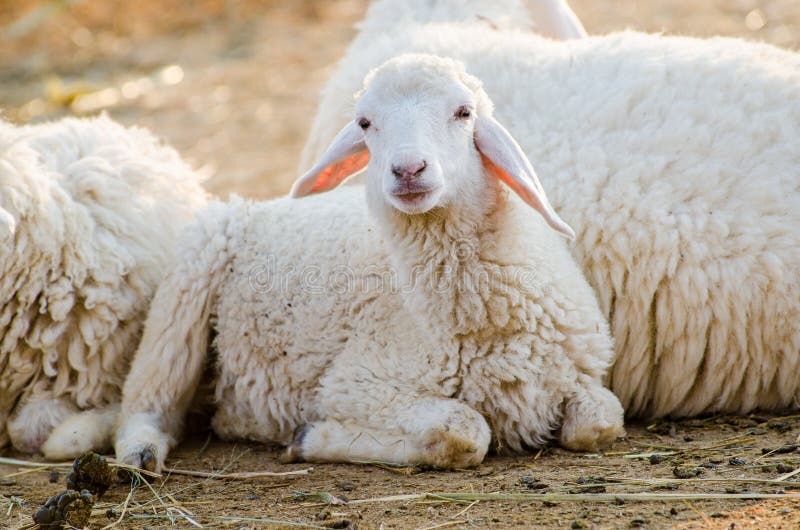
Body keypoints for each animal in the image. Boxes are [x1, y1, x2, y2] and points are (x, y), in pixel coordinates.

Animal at [115, 54, 625, 473]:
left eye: (464, 112)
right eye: (364, 122)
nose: (408, 170)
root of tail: (253, 205)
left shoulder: (578, 378)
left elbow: (601, 421)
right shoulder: (357, 383)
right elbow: (465, 431)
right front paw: (312, 437)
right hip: (187, 282)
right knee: (148, 398)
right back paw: (140, 455)